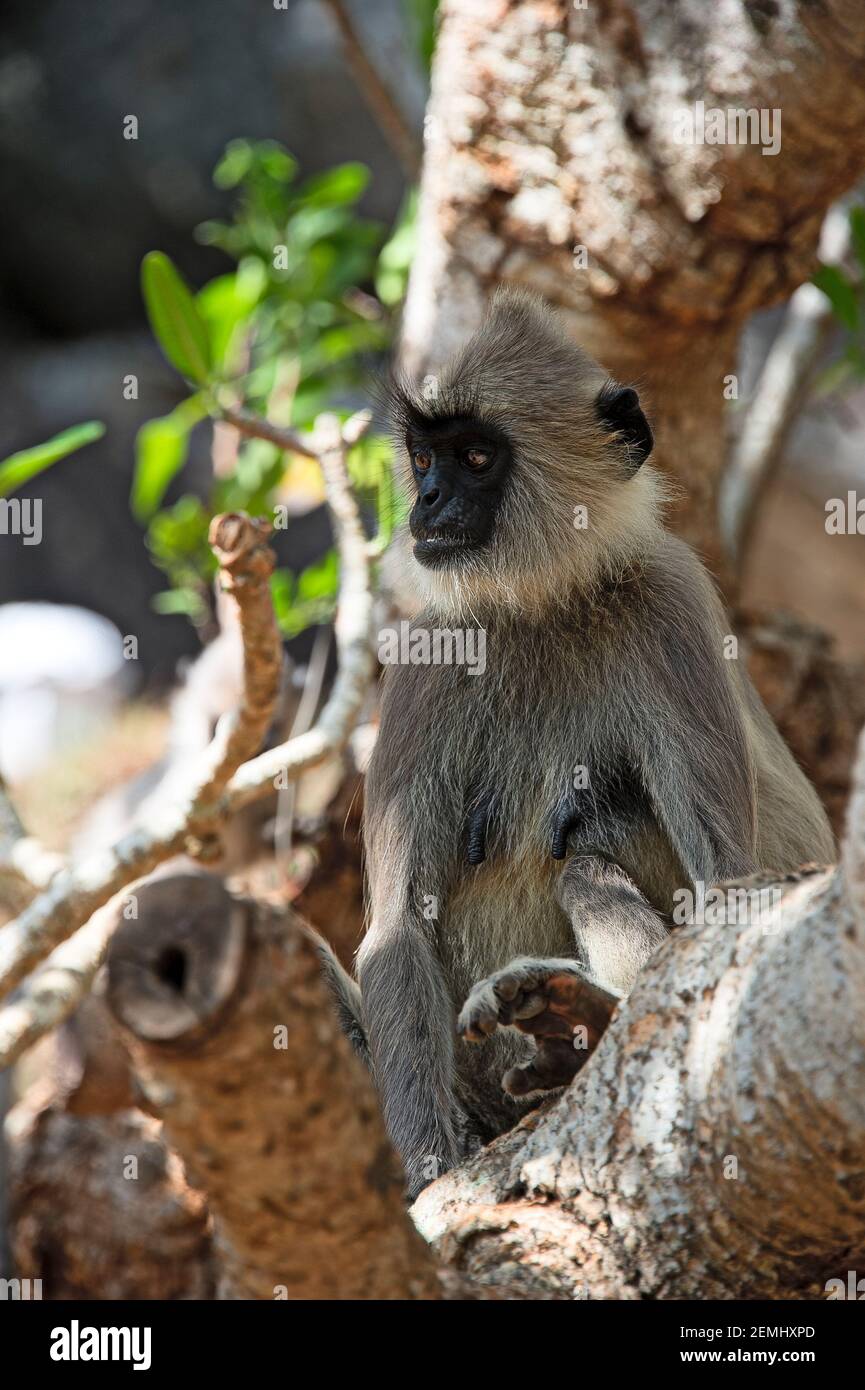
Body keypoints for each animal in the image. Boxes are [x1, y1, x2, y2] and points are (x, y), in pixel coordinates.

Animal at [336, 286, 835, 1197]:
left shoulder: (669, 605)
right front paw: (426, 1174)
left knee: (590, 851)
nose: (424, 507)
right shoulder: (427, 655)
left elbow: (729, 890)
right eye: (423, 461)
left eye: (474, 458)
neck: (542, 601)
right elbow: (395, 933)